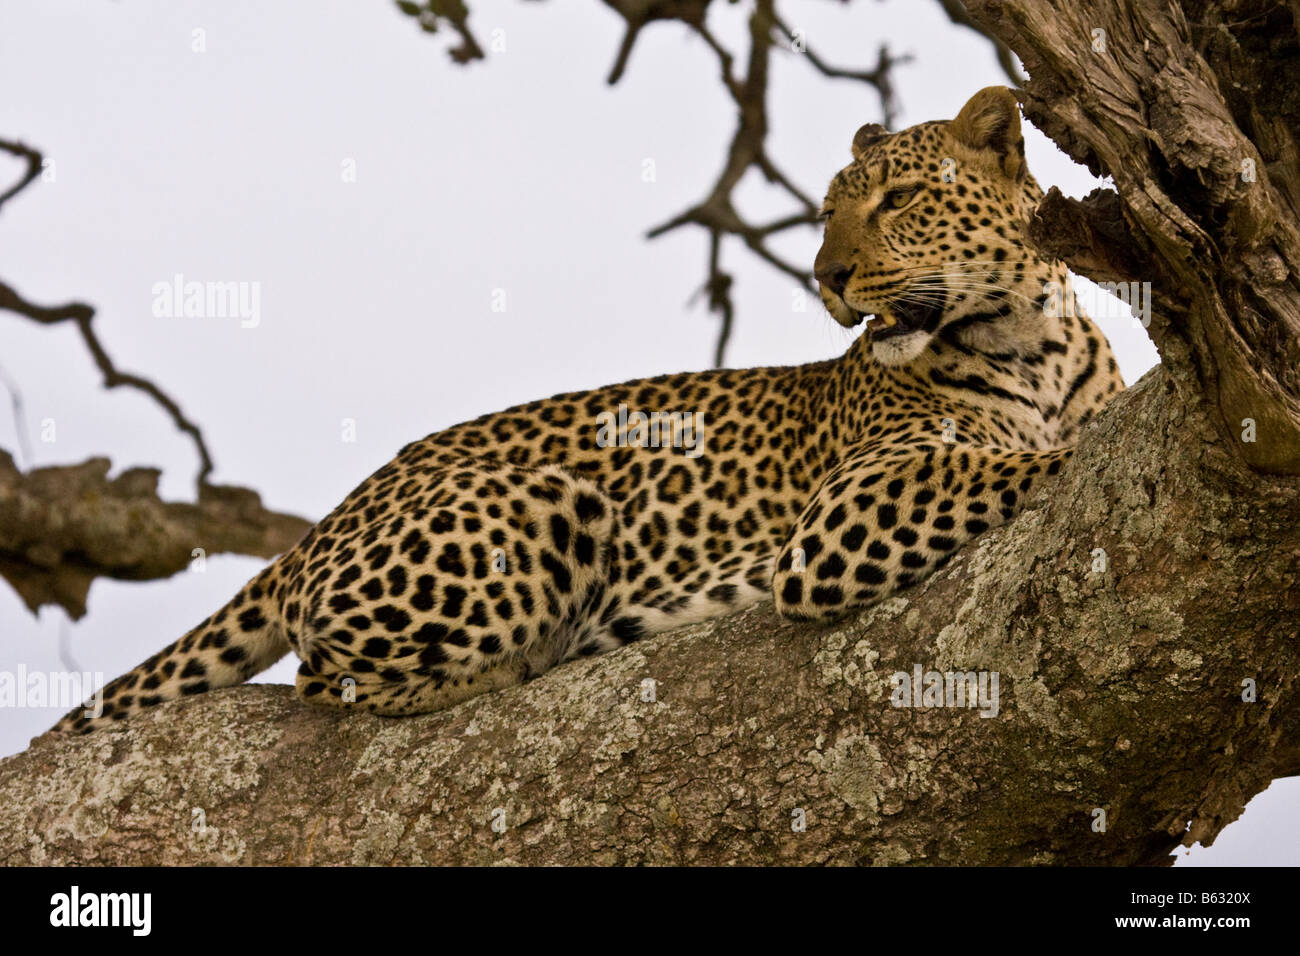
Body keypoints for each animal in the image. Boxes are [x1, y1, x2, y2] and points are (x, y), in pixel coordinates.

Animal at [51, 87, 1123, 735]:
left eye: (900, 198)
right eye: (825, 212)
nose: (826, 275)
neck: (1028, 341)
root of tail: (324, 523)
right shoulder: (843, 513)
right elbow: (1007, 462)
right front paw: (1072, 452)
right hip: (543, 501)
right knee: (331, 682)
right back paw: (528, 659)